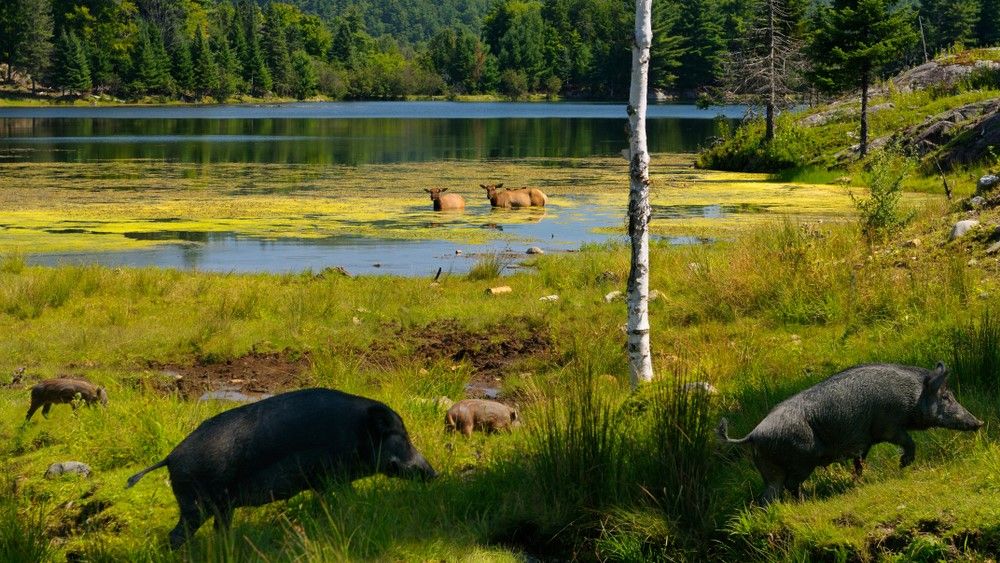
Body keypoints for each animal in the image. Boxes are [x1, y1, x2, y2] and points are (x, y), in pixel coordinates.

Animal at [125, 388, 436, 548]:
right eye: (402, 436)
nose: (434, 473)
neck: (355, 431)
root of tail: (170, 456)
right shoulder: (330, 474)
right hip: (196, 503)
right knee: (175, 536)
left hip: (218, 507)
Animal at [717, 362, 983, 504]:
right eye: (946, 397)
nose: (979, 423)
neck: (913, 397)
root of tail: (753, 434)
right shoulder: (888, 425)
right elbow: (908, 441)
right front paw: (903, 465)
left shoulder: (864, 442)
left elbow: (859, 462)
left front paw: (858, 480)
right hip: (801, 460)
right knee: (791, 485)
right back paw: (805, 500)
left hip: (768, 468)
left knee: (768, 495)